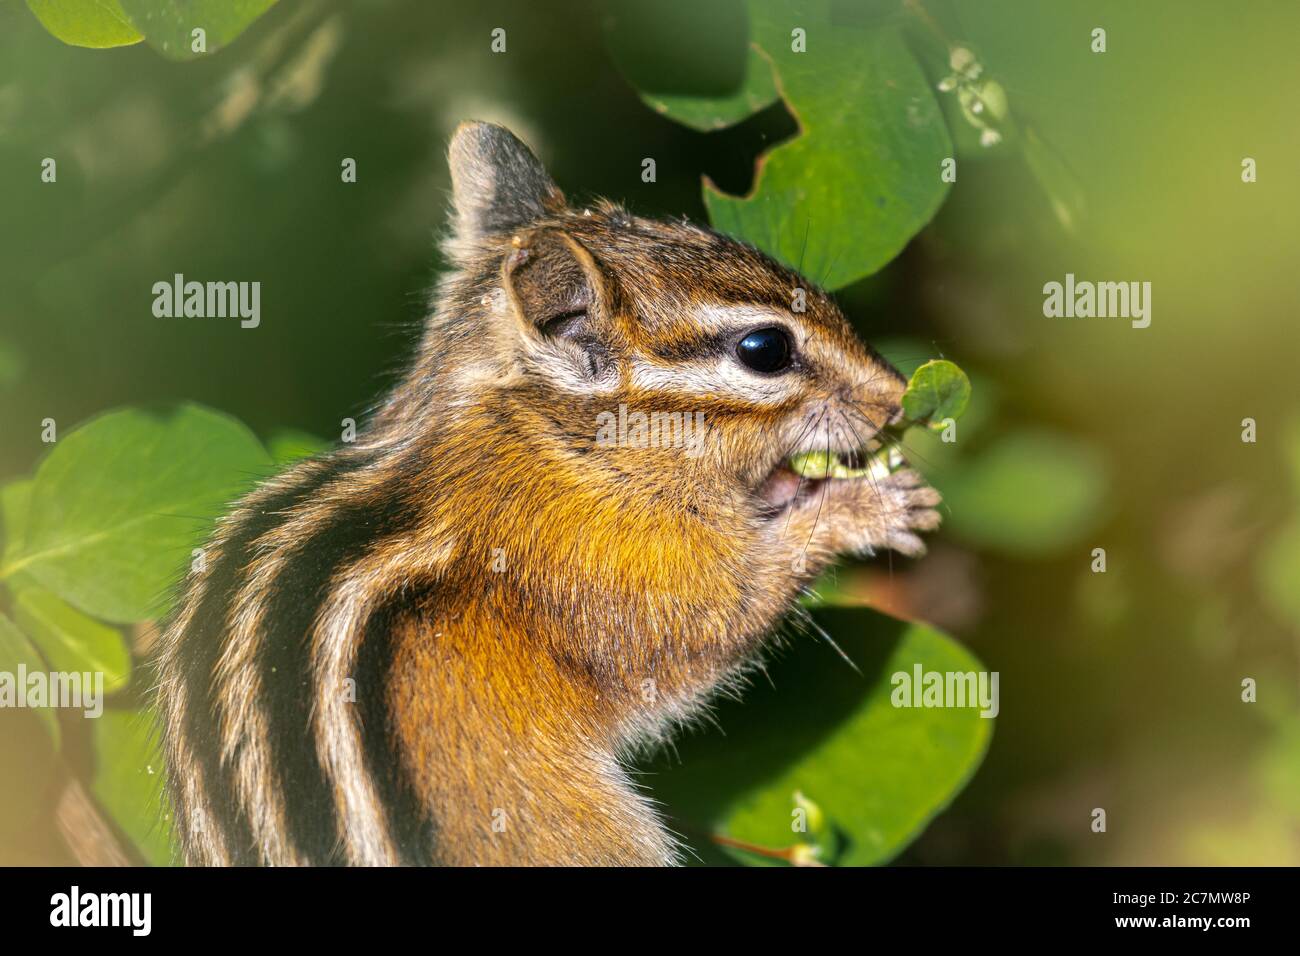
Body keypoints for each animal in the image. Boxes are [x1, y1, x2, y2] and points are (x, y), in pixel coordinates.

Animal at [155, 122, 941, 866]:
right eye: (765, 350)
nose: (897, 392)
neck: (542, 441)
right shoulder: (612, 575)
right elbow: (720, 621)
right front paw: (866, 510)